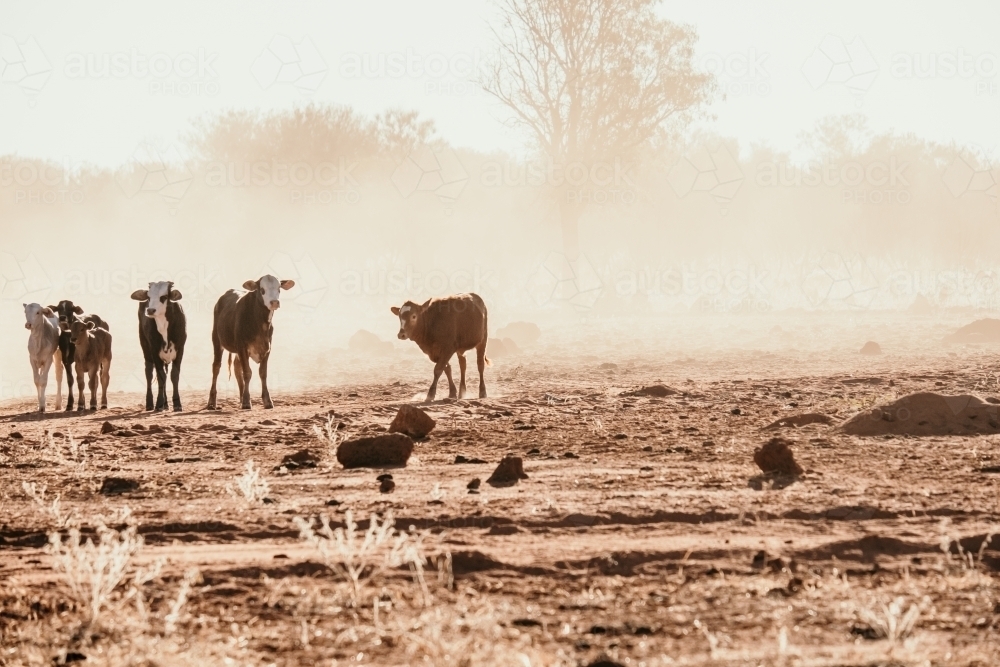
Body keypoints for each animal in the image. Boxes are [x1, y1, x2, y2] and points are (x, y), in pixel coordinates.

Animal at [130, 281, 187, 412]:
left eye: (164, 297)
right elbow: (161, 378)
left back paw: (166, 405)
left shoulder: (180, 349)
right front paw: (159, 404)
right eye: (149, 297)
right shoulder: (154, 351)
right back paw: (150, 403)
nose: (150, 310)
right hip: (145, 347)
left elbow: (174, 375)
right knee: (149, 373)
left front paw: (177, 404)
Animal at [208, 275, 295, 410]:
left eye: (279, 288)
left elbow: (263, 373)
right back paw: (212, 402)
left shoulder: (267, 348)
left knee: (237, 367)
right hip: (217, 340)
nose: (274, 302)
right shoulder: (242, 347)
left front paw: (267, 400)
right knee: (216, 367)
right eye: (262, 289)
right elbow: (247, 373)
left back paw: (240, 398)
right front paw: (246, 402)